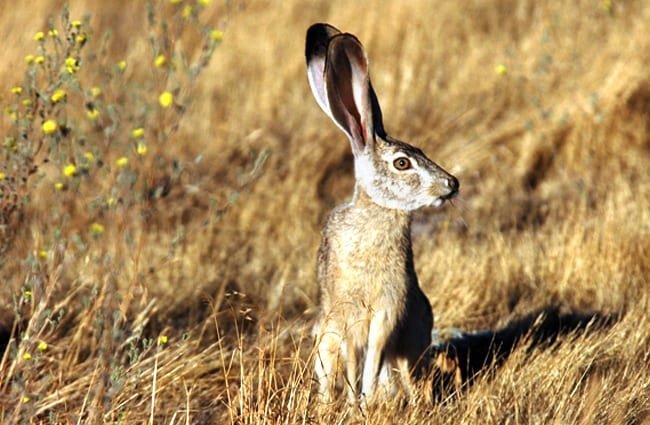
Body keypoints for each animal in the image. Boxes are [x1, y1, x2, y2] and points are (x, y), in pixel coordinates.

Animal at [306, 23, 459, 406]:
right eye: (402, 163)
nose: (452, 184)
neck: (378, 210)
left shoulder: (390, 309)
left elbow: (374, 355)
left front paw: (365, 398)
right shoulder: (346, 314)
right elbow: (354, 358)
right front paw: (355, 402)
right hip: (325, 339)